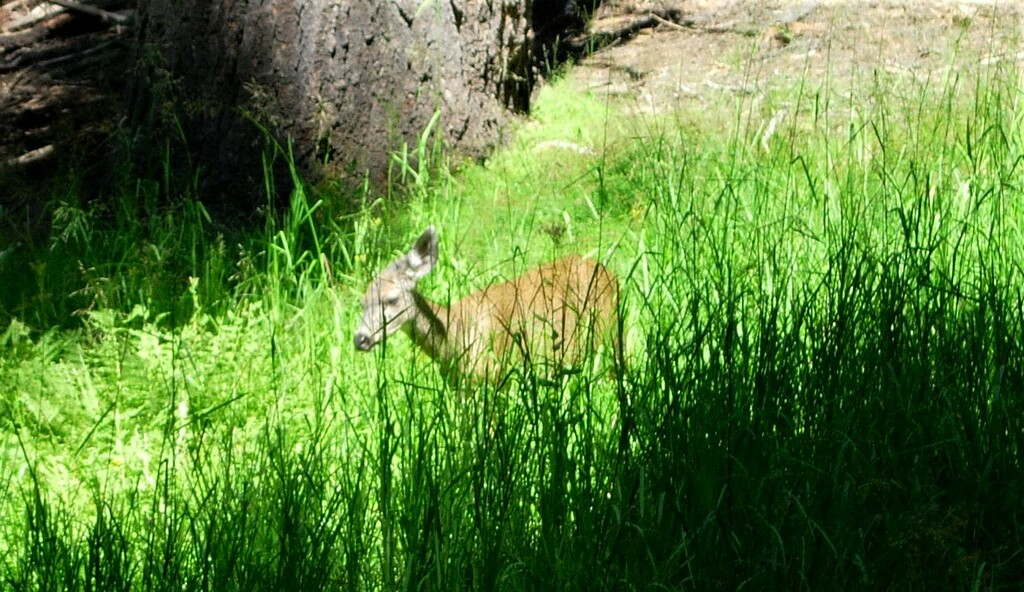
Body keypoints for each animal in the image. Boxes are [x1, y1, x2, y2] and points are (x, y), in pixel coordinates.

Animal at [353, 226, 621, 385]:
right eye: (362, 303)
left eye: (391, 299)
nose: (360, 339)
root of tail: (611, 275)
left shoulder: (492, 375)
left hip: (607, 333)